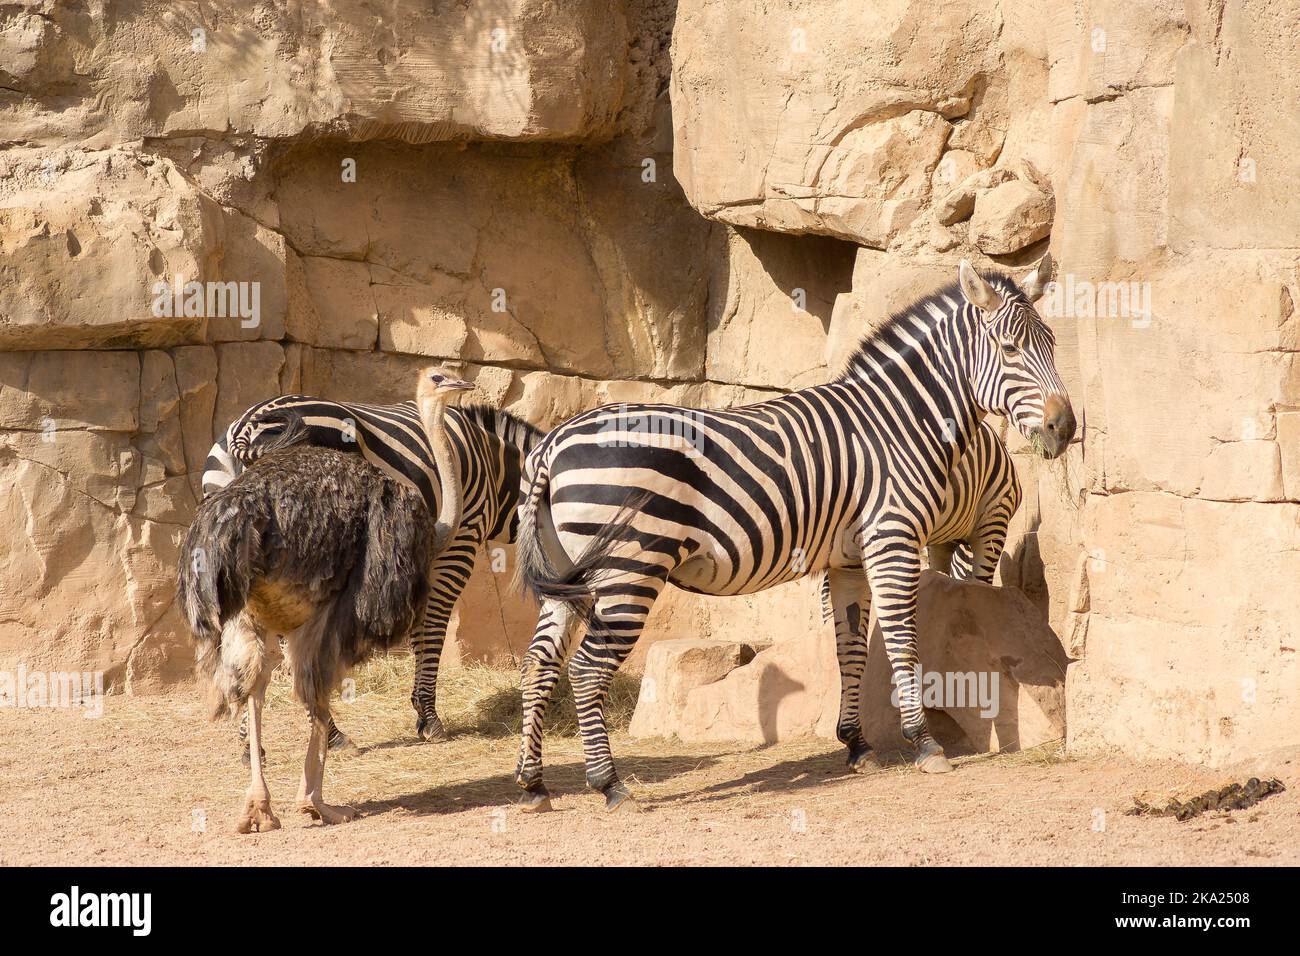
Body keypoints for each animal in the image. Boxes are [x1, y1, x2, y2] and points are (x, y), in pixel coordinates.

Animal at [202, 392, 543, 756]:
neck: (497, 471)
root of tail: (246, 427)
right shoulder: (459, 541)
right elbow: (433, 628)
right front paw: (428, 717)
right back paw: (330, 735)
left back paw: (250, 742)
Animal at [512, 255, 1073, 811]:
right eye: (1010, 348)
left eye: (1051, 342)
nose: (1064, 428)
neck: (897, 423)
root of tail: (554, 442)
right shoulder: (891, 538)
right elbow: (901, 641)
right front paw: (925, 743)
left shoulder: (849, 560)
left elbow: (851, 650)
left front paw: (857, 744)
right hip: (628, 569)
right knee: (586, 669)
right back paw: (609, 784)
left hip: (569, 574)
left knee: (540, 663)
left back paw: (534, 784)